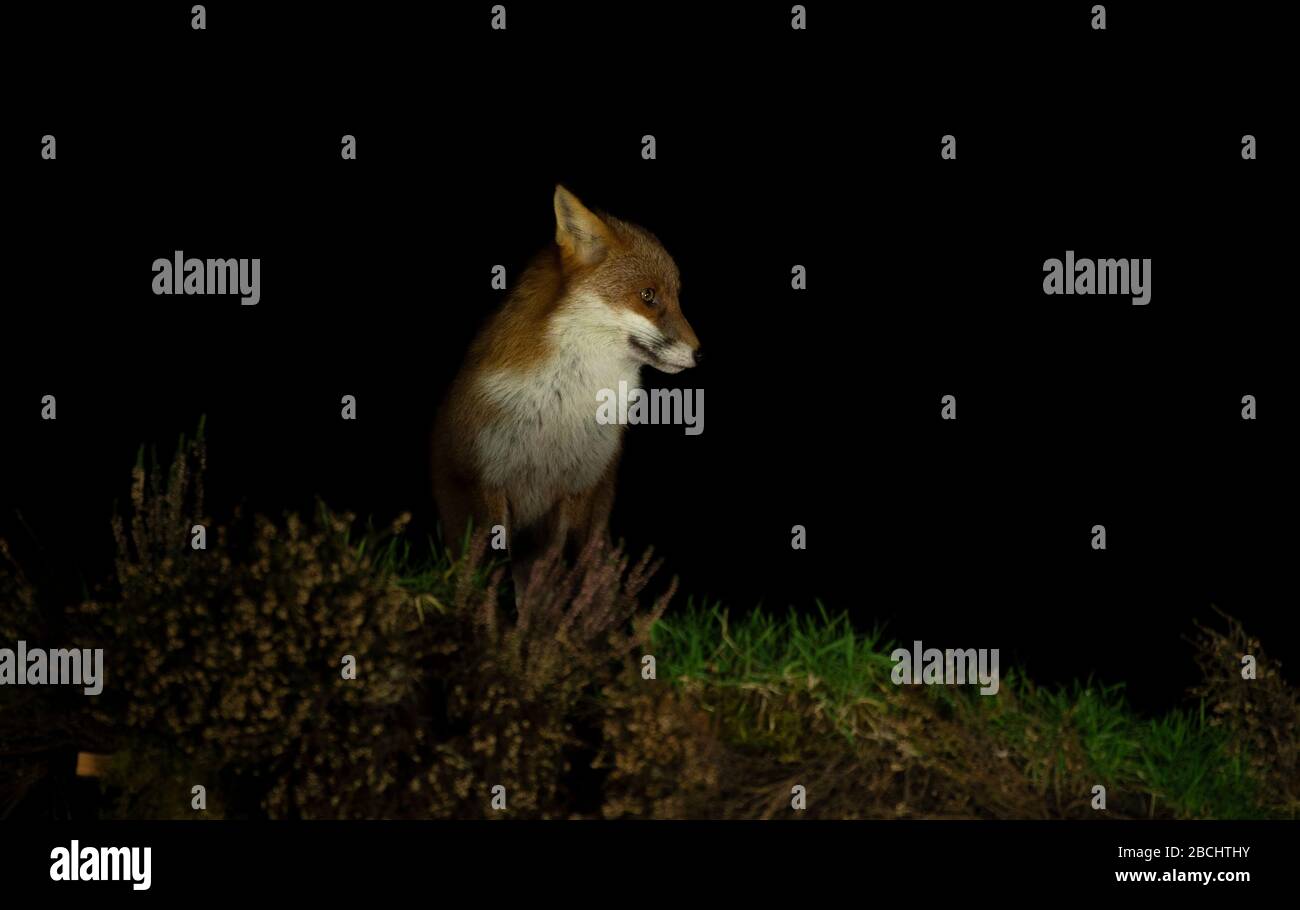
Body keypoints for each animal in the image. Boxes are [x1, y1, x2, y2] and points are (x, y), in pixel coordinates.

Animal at [431, 185, 702, 586]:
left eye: (676, 296)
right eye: (648, 295)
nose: (700, 353)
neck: (560, 413)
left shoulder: (578, 491)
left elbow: (568, 571)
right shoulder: (487, 484)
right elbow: (496, 578)